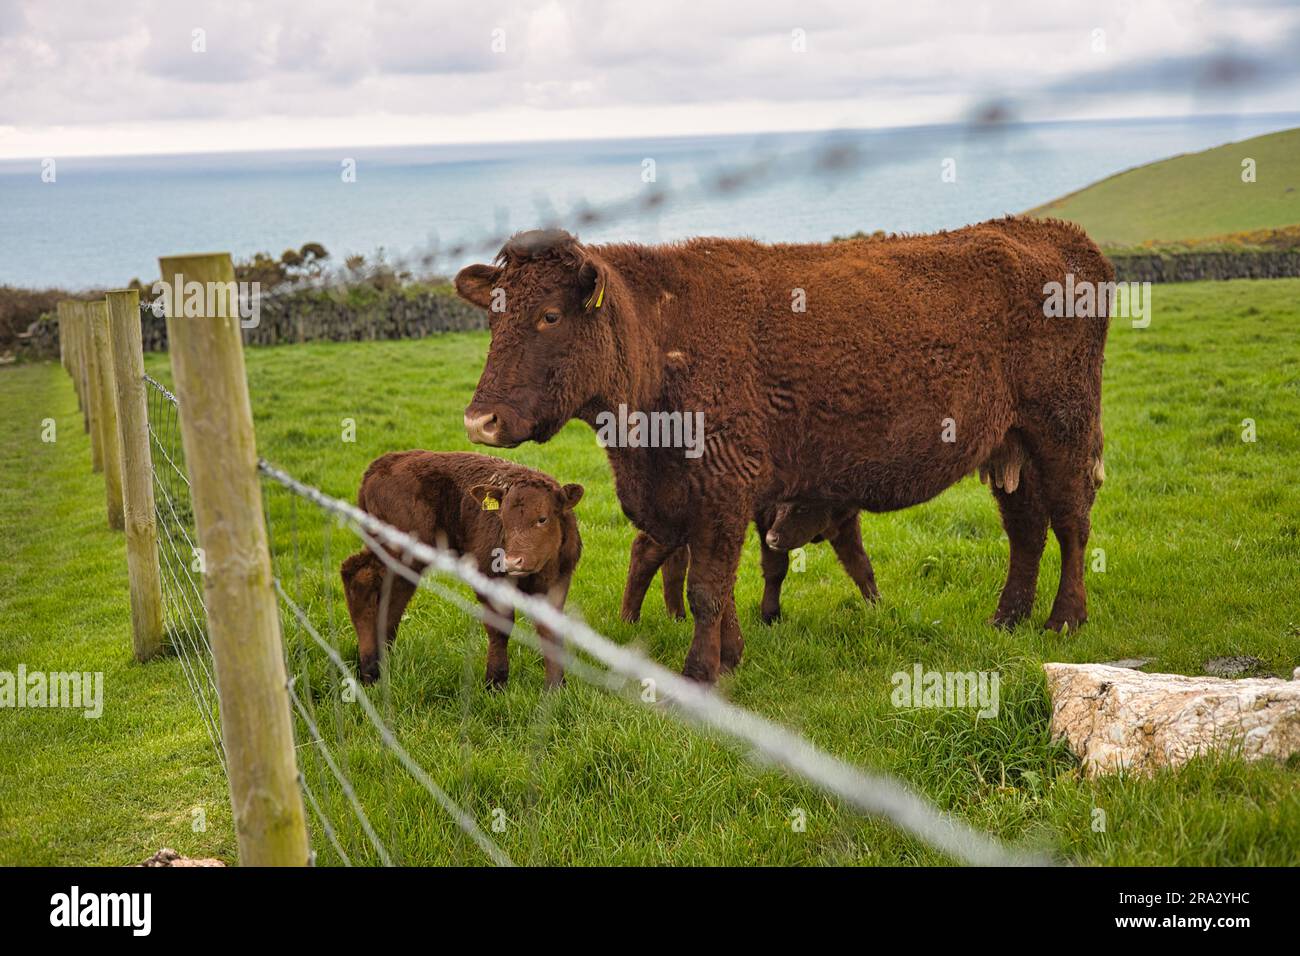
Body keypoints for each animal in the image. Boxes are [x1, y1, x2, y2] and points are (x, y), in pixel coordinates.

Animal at [340, 451, 584, 688]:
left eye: (542, 519)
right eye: (503, 519)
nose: (512, 561)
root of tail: (381, 464)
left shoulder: (558, 582)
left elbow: (551, 632)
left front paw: (555, 687)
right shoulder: (489, 578)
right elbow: (499, 628)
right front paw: (495, 682)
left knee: (394, 593)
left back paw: (382, 659)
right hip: (396, 547)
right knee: (359, 575)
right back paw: (370, 670)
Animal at [622, 500, 878, 625]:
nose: (774, 538)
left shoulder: (846, 525)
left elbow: (860, 566)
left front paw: (876, 606)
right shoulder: (766, 521)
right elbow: (776, 569)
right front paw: (770, 616)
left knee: (674, 560)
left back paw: (677, 618)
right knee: (644, 551)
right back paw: (630, 620)